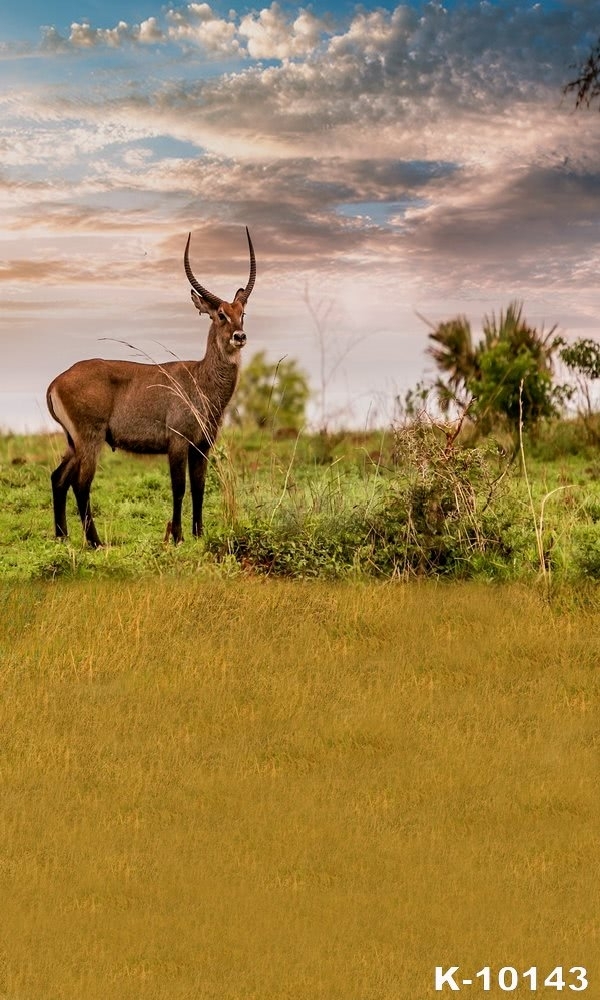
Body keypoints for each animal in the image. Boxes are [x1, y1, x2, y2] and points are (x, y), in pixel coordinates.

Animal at [46, 227, 256, 547]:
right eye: (220, 314)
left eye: (242, 312)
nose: (239, 336)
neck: (200, 380)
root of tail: (57, 380)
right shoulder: (178, 442)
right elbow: (179, 488)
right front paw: (178, 537)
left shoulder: (203, 446)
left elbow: (199, 488)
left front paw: (199, 533)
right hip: (90, 439)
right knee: (81, 484)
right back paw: (95, 542)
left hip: (73, 441)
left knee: (59, 478)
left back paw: (62, 537)